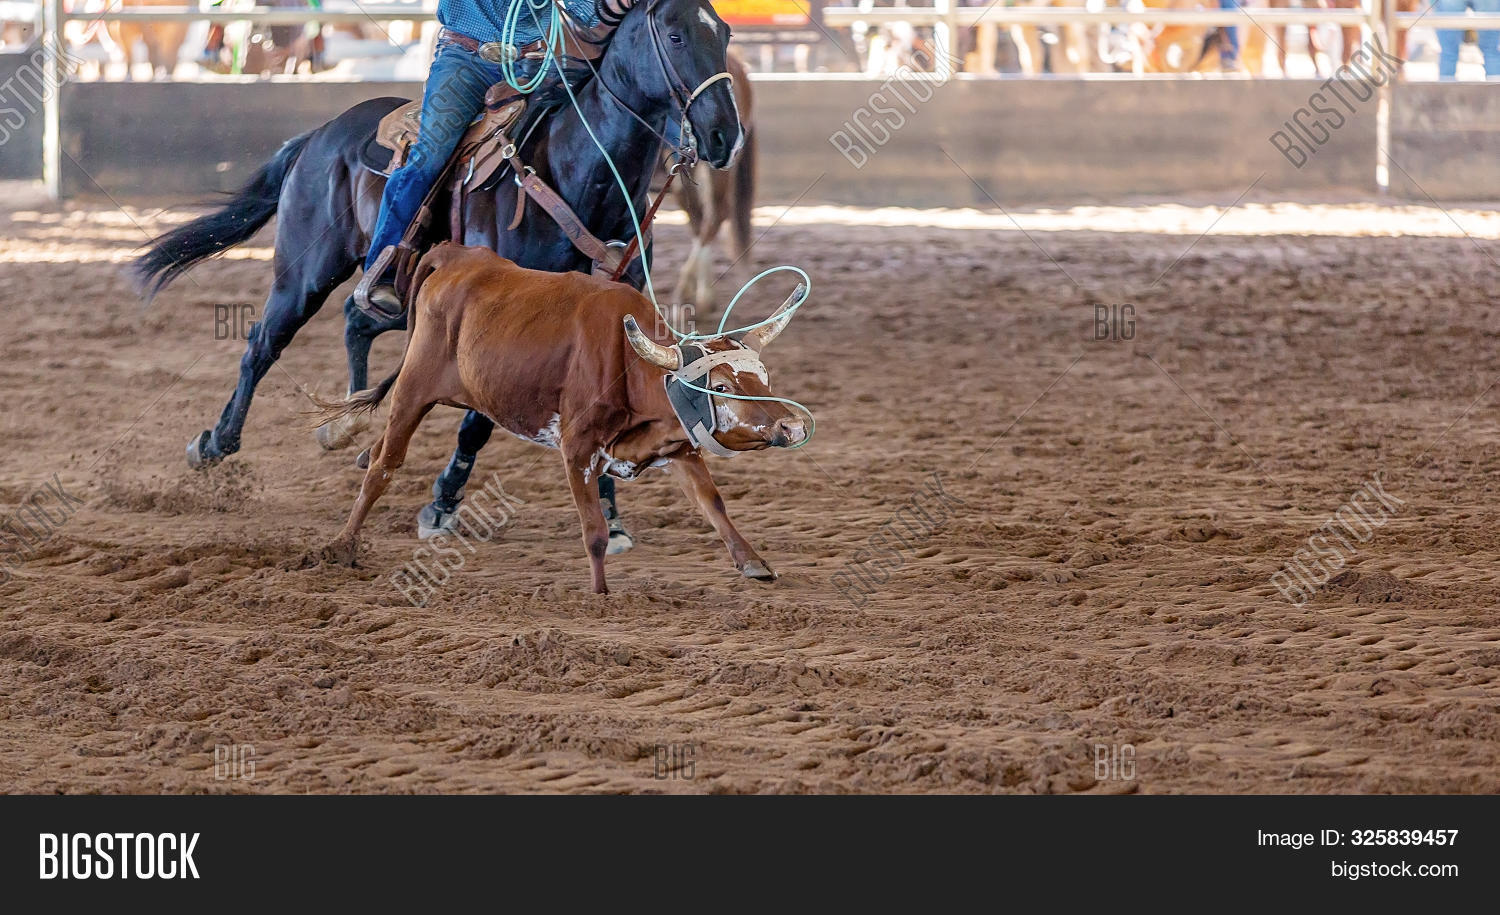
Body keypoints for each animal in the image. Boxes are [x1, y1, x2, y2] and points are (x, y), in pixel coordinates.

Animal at [318, 243, 808, 594]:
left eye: (763, 376)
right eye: (720, 387)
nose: (793, 426)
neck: (626, 364)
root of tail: (456, 254)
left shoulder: (679, 445)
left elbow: (713, 504)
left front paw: (752, 562)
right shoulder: (578, 449)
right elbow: (594, 530)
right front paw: (600, 593)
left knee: (378, 452)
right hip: (413, 389)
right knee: (384, 468)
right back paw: (341, 546)